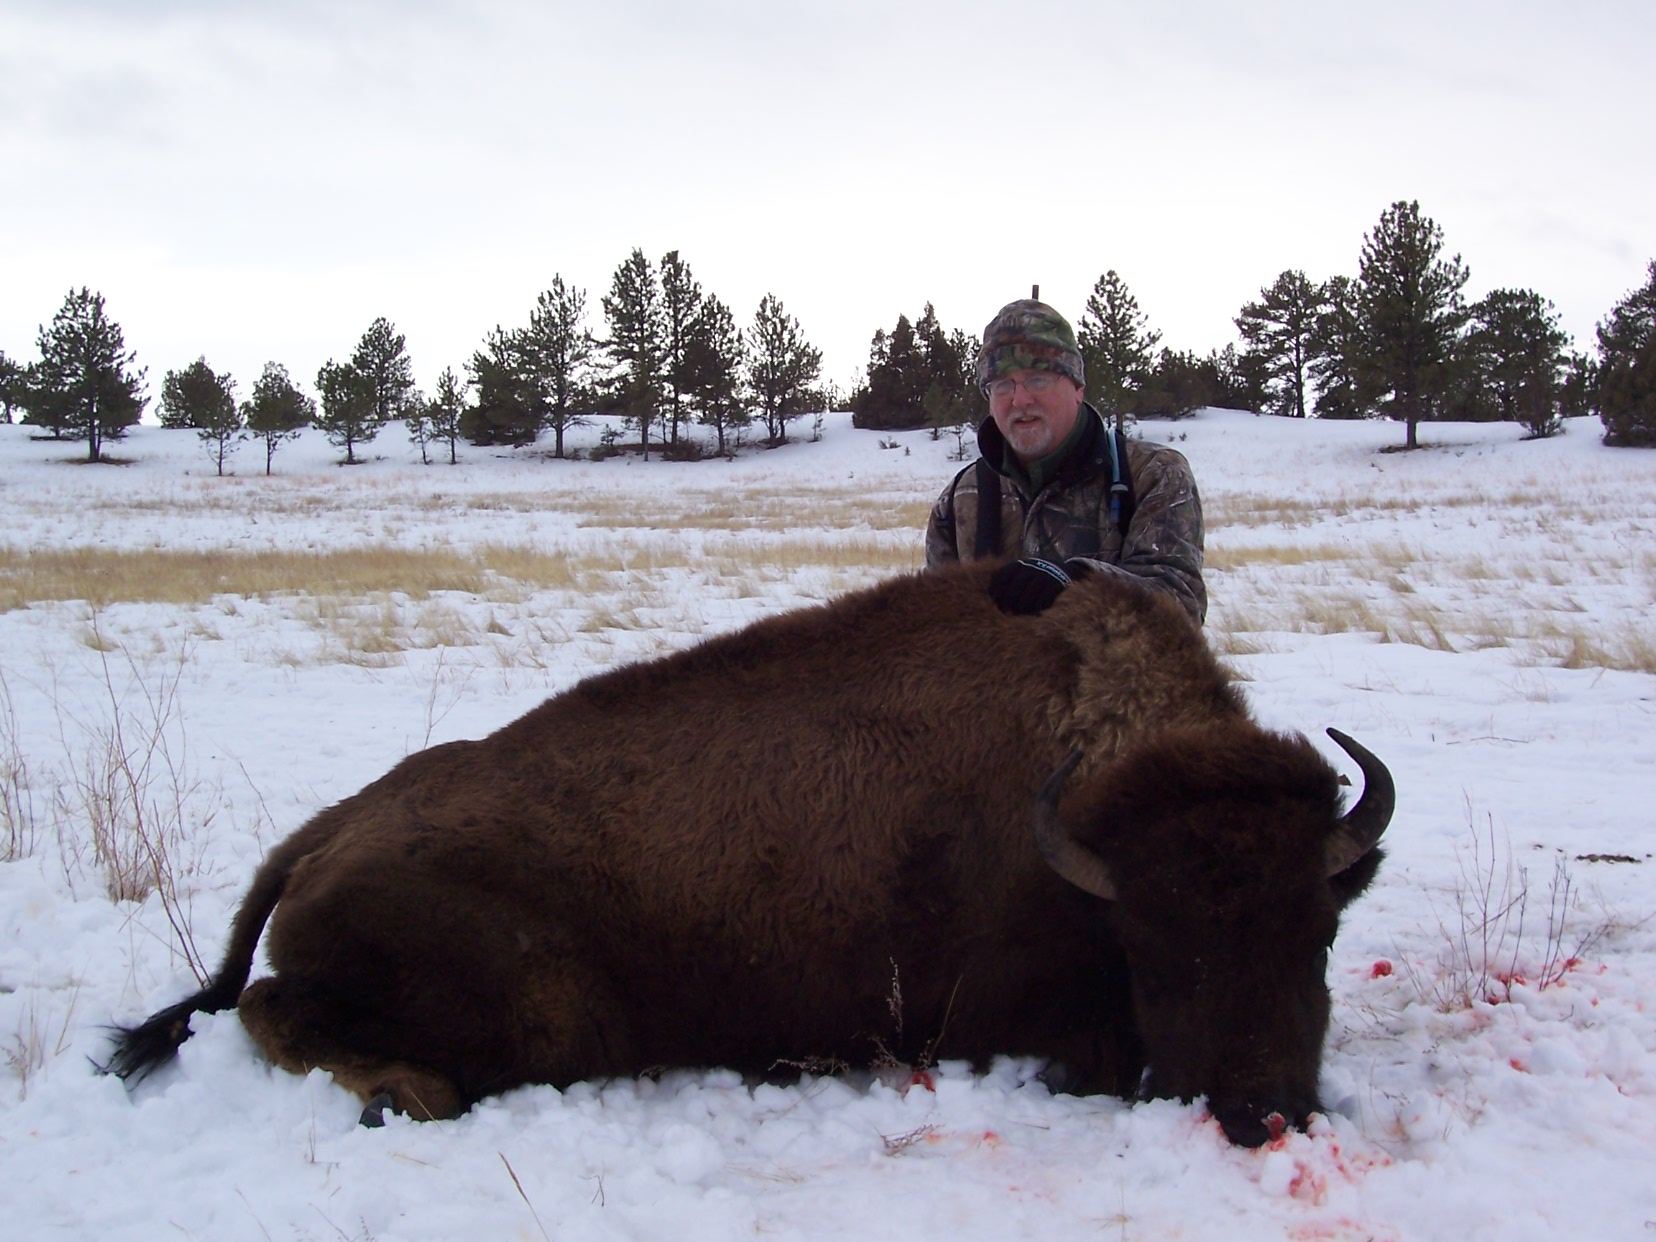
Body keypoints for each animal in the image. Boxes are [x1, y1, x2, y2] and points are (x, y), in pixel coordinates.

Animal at [106, 561, 1391, 1147]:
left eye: (1321, 935)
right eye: (1154, 947)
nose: (1265, 1113)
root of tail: (322, 834)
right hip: (538, 1013)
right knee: (270, 1012)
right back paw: (403, 1096)